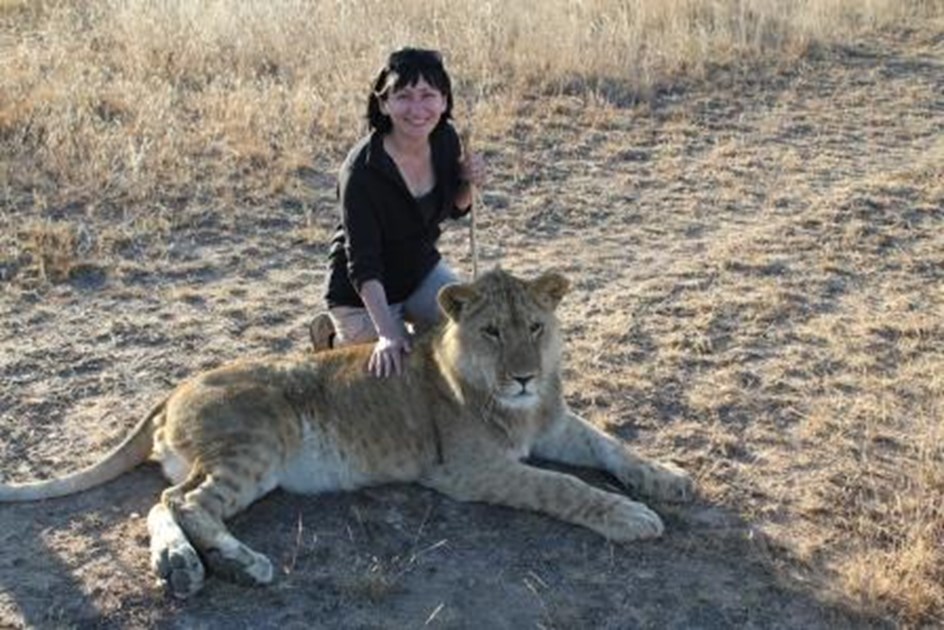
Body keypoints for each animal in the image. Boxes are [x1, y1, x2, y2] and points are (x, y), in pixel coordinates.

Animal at [0, 269, 693, 598]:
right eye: (493, 331)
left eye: (536, 327)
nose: (523, 377)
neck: (515, 404)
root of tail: (172, 390)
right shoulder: (469, 471)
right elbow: (566, 489)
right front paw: (630, 517)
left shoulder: (550, 425)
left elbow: (610, 445)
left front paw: (669, 479)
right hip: (261, 442)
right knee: (184, 500)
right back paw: (242, 565)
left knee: (160, 502)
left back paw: (182, 566)